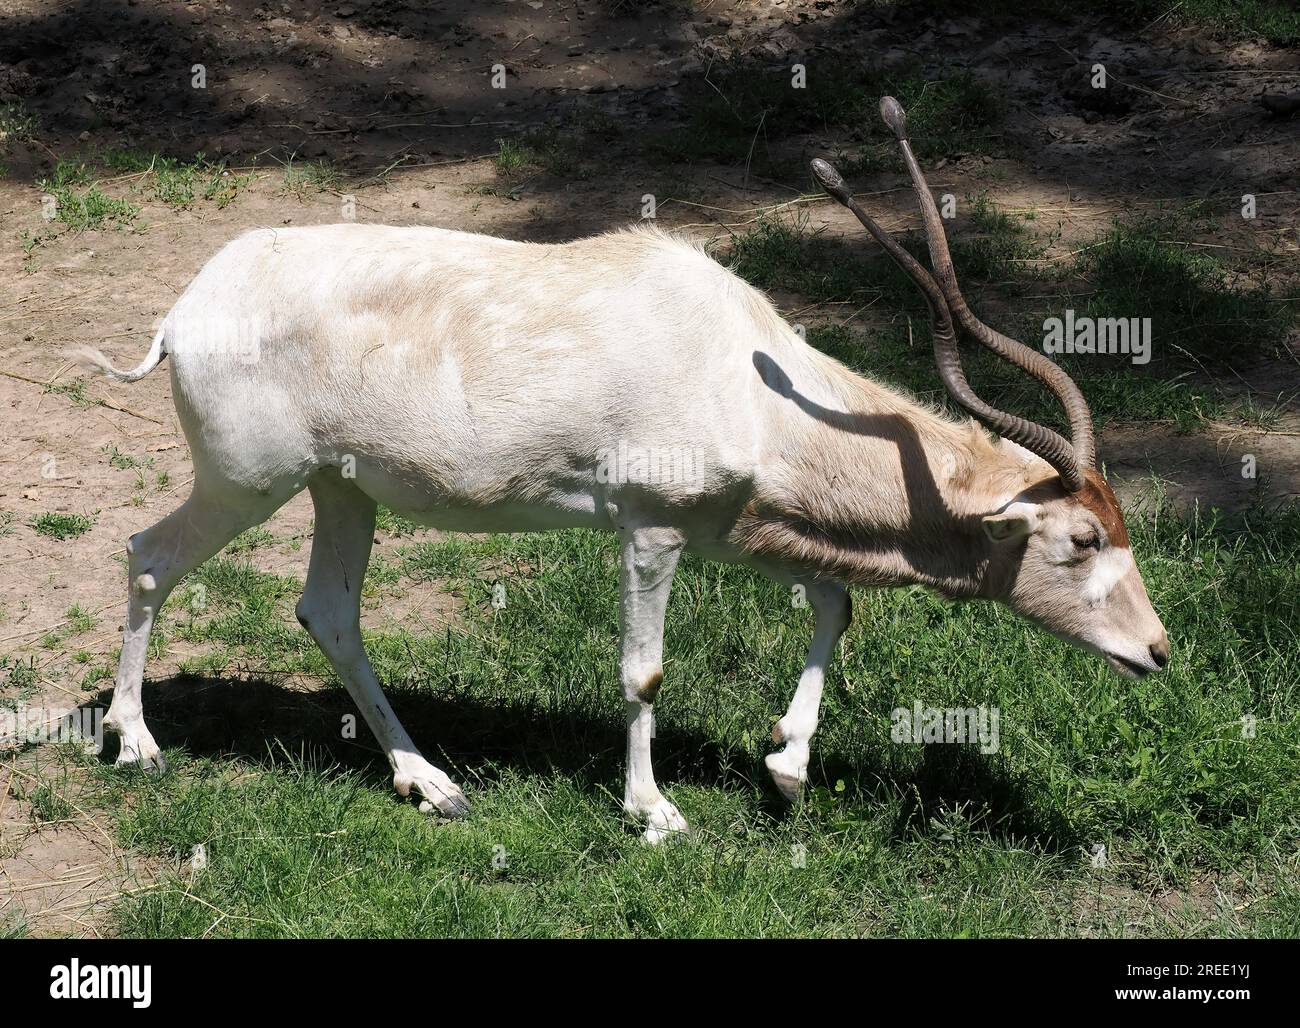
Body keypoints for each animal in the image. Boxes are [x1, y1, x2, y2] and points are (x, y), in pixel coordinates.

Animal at [75, 98, 1168, 843]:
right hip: (245, 481)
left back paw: (430, 781)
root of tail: (189, 308)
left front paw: (786, 766)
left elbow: (835, 601)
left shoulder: (734, 524)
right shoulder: (653, 528)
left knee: (328, 610)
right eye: (1081, 539)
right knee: (149, 557)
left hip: (343, 489)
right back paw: (137, 742)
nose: (1157, 651)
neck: (746, 368)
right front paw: (654, 811)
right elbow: (644, 670)